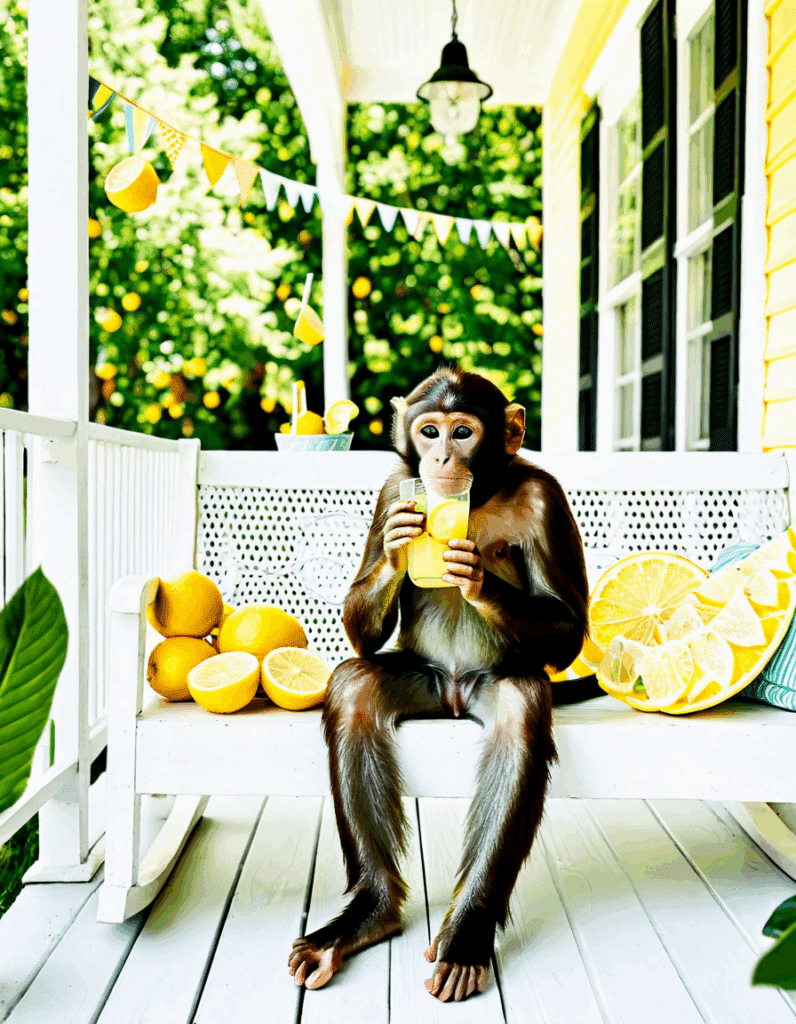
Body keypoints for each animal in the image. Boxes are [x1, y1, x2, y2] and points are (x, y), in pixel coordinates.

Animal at [288, 367, 590, 1002]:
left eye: (462, 430)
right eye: (429, 431)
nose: (443, 457)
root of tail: (451, 693)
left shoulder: (546, 497)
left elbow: (570, 623)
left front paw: (473, 574)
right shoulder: (392, 490)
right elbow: (362, 630)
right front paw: (400, 546)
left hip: (483, 683)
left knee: (521, 710)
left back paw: (466, 936)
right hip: (421, 678)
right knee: (353, 688)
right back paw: (367, 913)